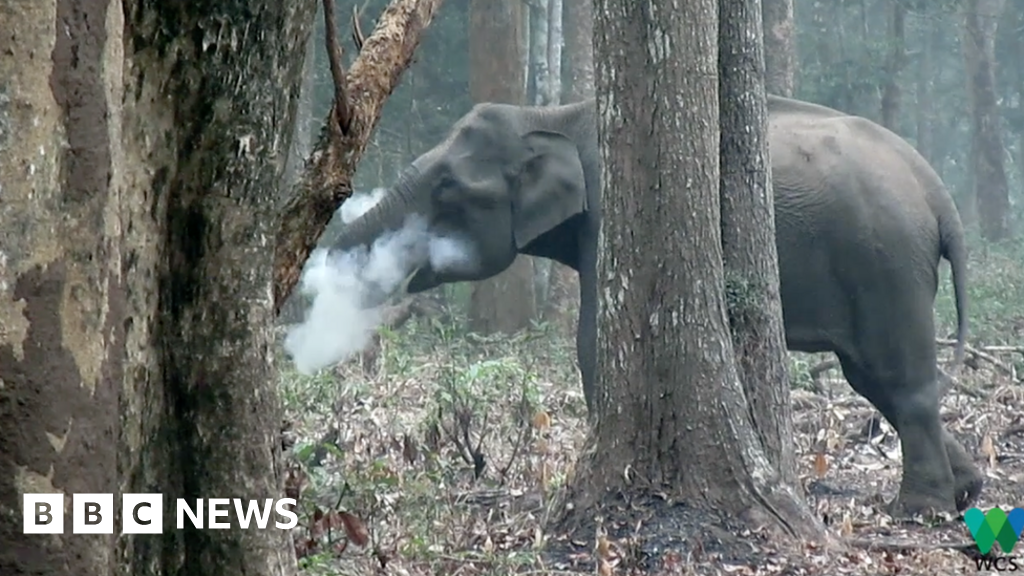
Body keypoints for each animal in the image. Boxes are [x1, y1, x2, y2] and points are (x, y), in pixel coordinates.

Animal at [325, 95, 982, 518]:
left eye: (447, 189)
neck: (551, 116)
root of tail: (939, 195)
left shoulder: (611, 215)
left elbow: (593, 340)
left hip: (886, 263)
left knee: (899, 379)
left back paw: (918, 510)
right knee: (876, 380)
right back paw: (967, 491)